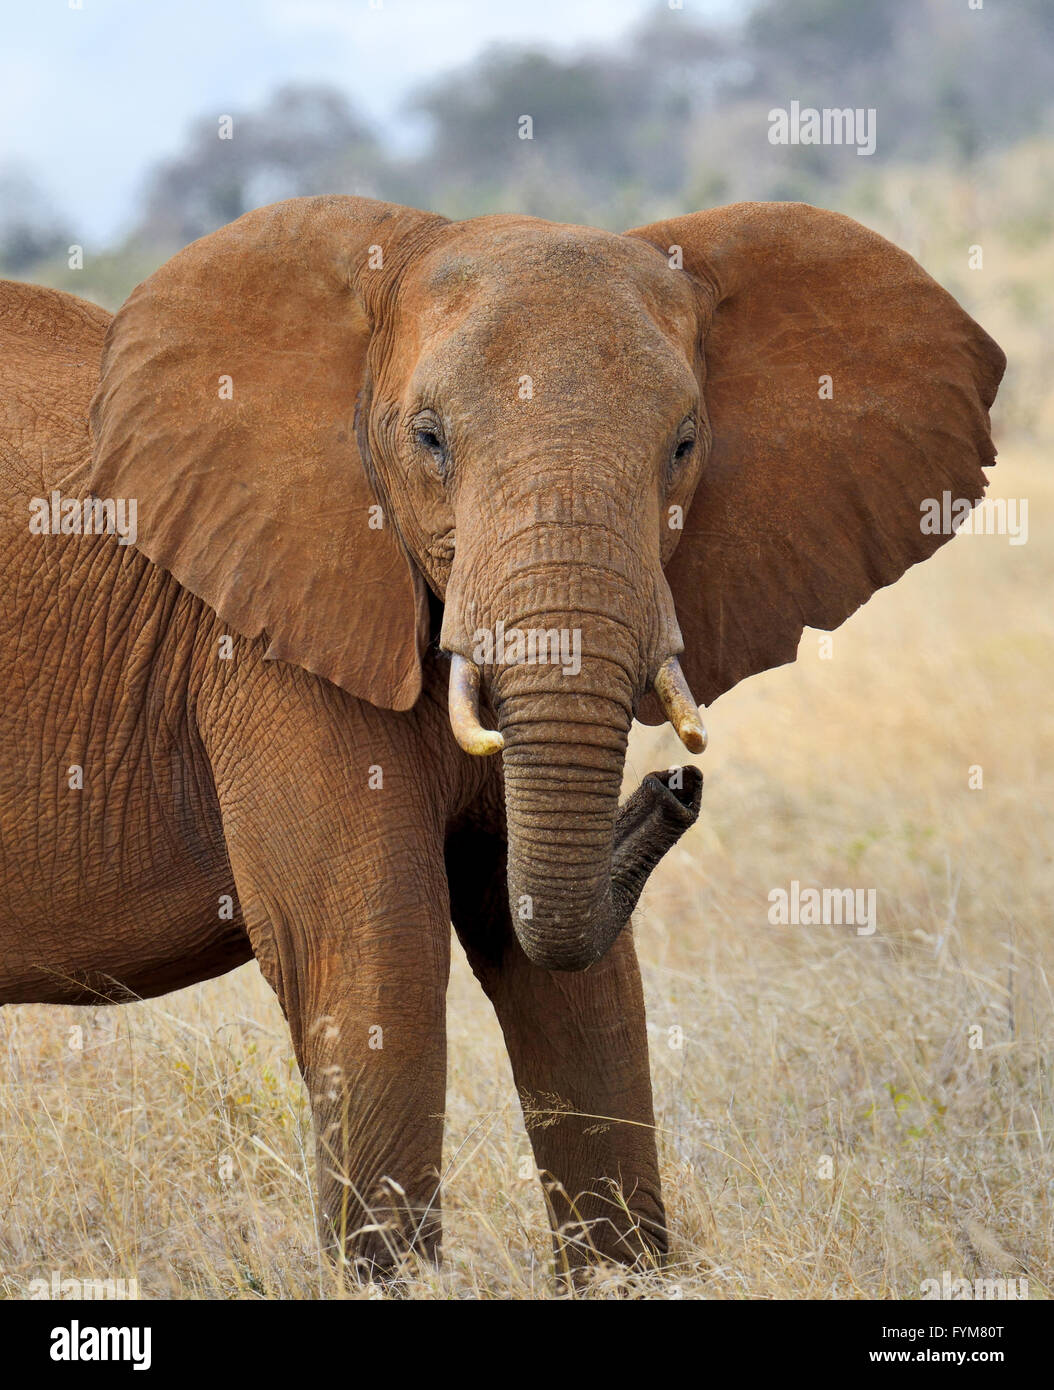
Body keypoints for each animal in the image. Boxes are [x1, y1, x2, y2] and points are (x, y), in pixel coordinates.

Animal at [0, 196, 1003, 1279]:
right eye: (429, 439)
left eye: (685, 443)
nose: (675, 787)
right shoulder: (264, 646)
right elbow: (375, 951)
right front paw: (391, 1281)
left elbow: (571, 981)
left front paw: (621, 1277)